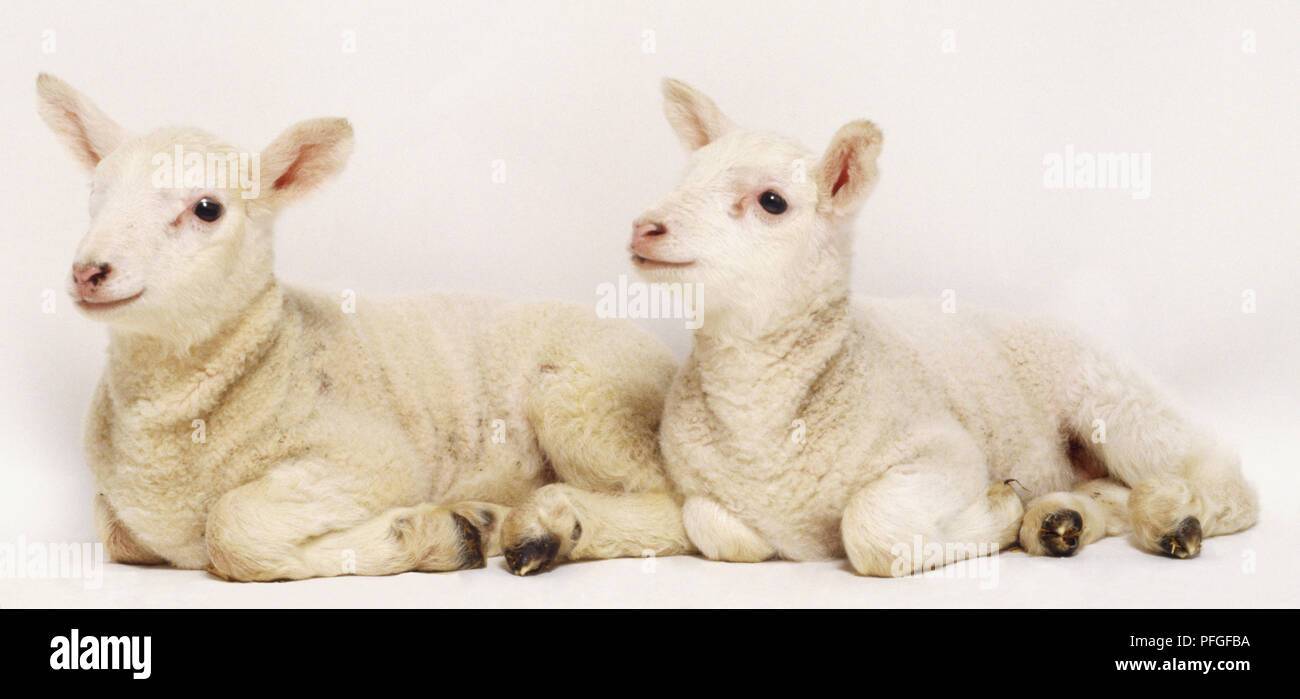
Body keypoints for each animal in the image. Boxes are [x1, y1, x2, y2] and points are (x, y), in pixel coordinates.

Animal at [37, 74, 691, 581]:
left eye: (207, 209)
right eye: (95, 194)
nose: (88, 272)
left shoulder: (373, 459)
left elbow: (233, 527)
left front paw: (428, 535)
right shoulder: (121, 512)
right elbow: (111, 527)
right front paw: (461, 528)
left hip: (587, 398)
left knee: (674, 506)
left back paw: (544, 529)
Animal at [631, 78, 1258, 576]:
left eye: (772, 201)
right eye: (686, 178)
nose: (644, 228)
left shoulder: (945, 451)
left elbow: (872, 528)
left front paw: (996, 513)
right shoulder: (701, 494)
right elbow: (711, 525)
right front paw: (1019, 516)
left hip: (1116, 400)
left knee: (1225, 482)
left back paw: (1173, 519)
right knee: (1109, 490)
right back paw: (1060, 521)